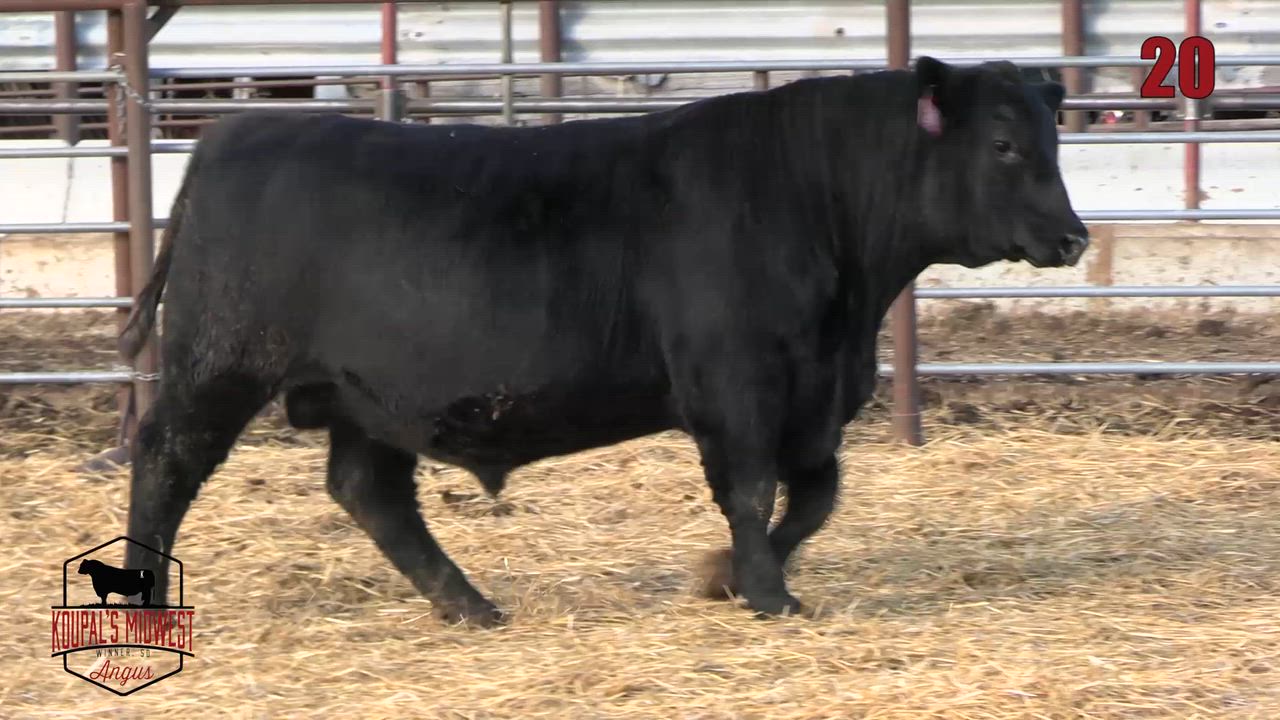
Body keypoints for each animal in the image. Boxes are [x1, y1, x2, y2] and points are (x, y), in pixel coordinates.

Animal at [117, 56, 1088, 627]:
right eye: (1006, 144)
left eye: (1050, 136)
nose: (1074, 237)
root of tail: (236, 131)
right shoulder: (736, 388)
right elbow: (752, 491)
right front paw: (765, 593)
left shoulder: (817, 395)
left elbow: (815, 497)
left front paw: (726, 577)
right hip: (222, 364)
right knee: (164, 460)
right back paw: (144, 598)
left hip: (368, 396)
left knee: (372, 493)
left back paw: (471, 606)